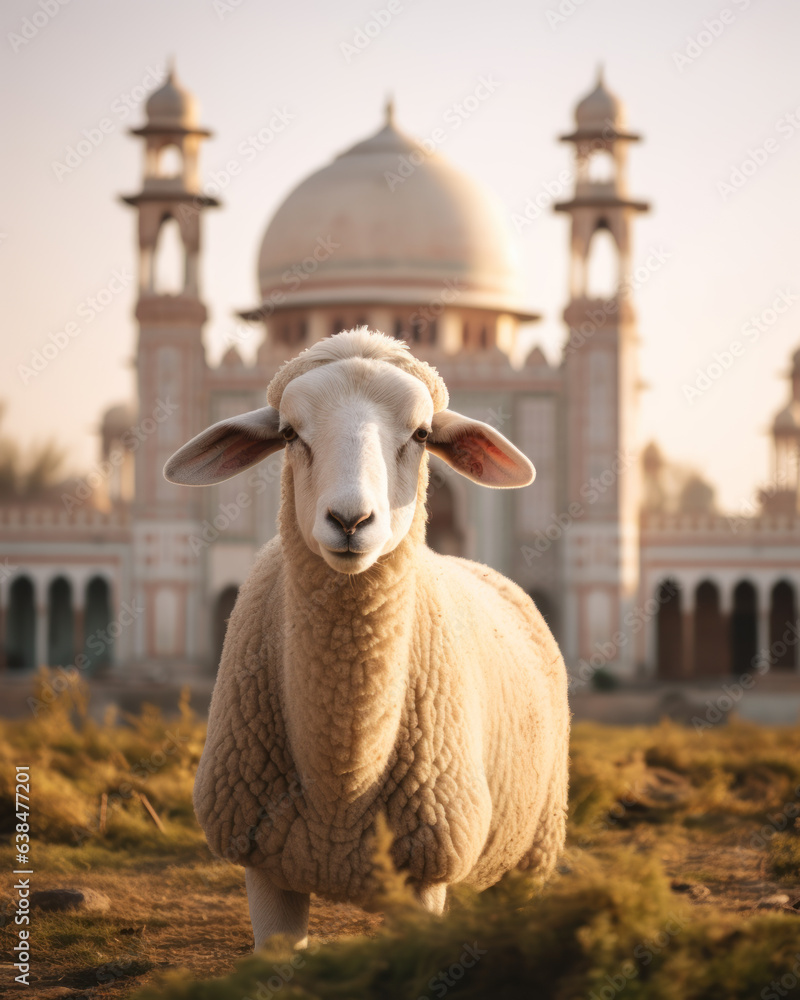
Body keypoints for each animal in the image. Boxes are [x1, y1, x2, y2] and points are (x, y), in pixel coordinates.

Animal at [164, 328, 569, 950]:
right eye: (289, 433)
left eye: (423, 434)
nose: (350, 521)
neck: (342, 778)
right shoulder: (265, 869)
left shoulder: (426, 875)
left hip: (532, 854)